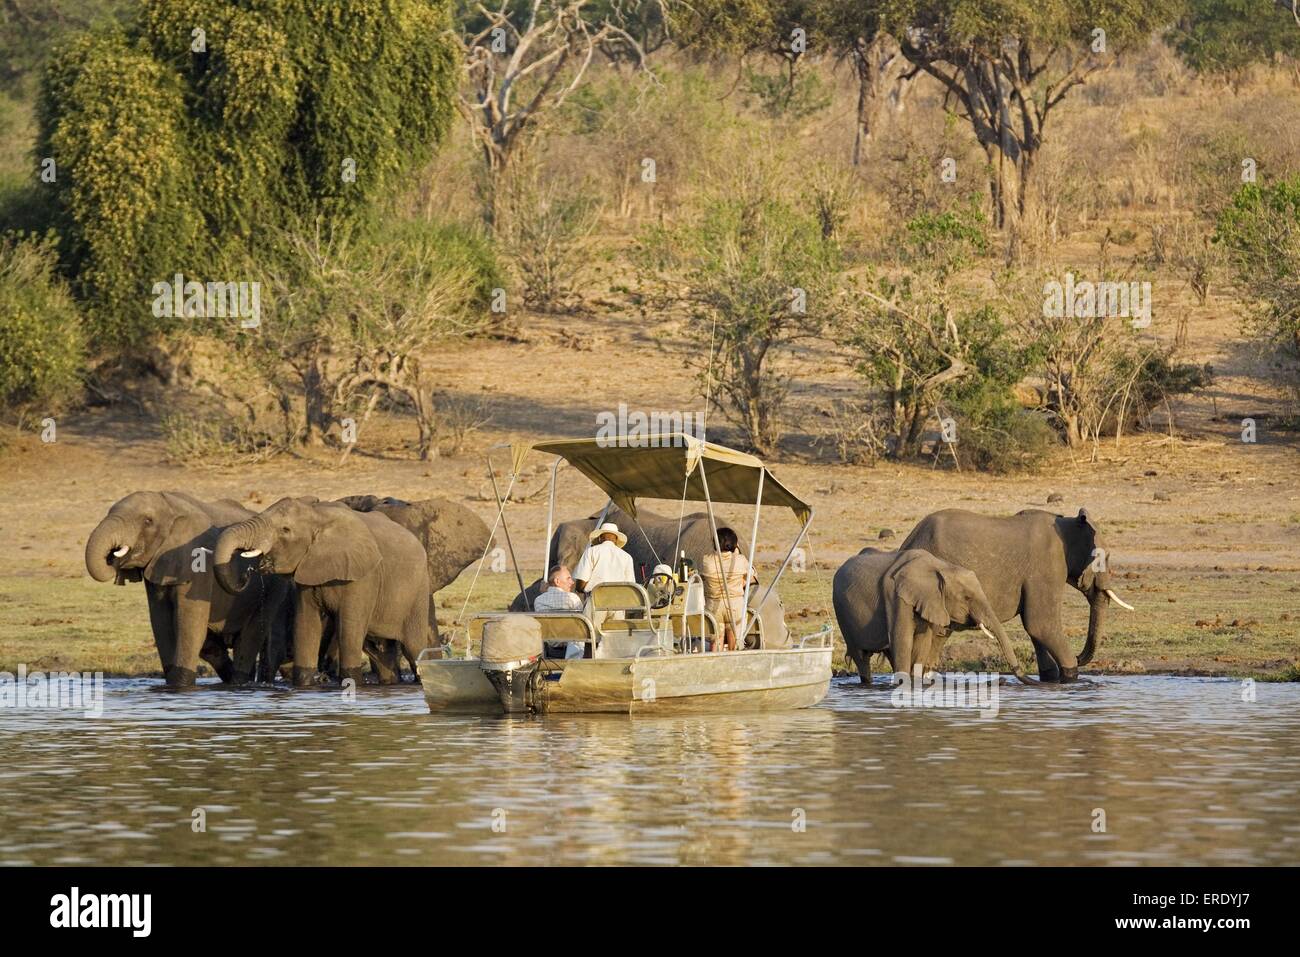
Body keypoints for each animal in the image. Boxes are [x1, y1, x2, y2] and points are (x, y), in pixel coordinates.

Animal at [85, 491, 291, 687]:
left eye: (147, 521)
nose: (112, 555)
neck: (169, 505)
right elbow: (161, 625)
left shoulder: (196, 565)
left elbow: (189, 627)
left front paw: (181, 687)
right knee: (213, 647)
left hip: (273, 587)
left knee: (250, 637)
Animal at [214, 497, 435, 687]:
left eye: (285, 530)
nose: (247, 574)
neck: (318, 516)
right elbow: (306, 625)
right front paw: (305, 685)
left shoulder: (363, 578)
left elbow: (349, 629)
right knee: (383, 651)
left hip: (418, 592)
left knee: (414, 647)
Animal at [832, 548, 1033, 685]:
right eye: (967, 598)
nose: (1003, 680)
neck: (940, 567)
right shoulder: (896, 597)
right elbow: (902, 640)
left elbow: (922, 642)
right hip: (842, 611)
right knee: (861, 657)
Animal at [899, 508, 1134, 683]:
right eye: (1106, 558)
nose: (1079, 656)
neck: (1068, 523)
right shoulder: (1046, 567)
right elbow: (1040, 624)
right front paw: (1070, 675)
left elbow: (1037, 631)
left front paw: (1051, 678)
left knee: (940, 634)